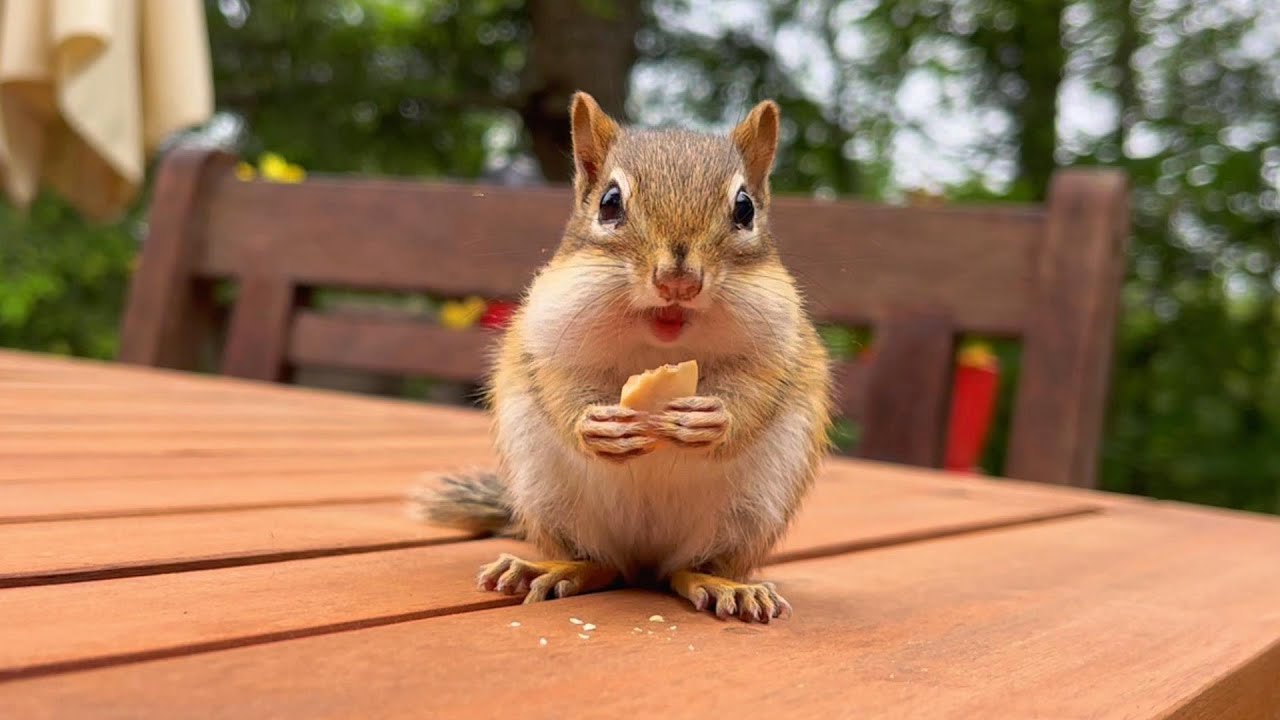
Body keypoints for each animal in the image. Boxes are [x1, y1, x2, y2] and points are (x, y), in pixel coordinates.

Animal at [414, 92, 832, 623]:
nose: (679, 282)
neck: (662, 339)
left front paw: (712, 418)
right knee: (598, 562)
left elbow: (756, 391)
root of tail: (644, 561)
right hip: (551, 501)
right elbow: (561, 386)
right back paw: (551, 568)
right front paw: (596, 425)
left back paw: (721, 584)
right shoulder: (546, 337)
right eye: (609, 202)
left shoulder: (780, 345)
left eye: (745, 209)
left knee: (688, 567)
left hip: (750, 514)